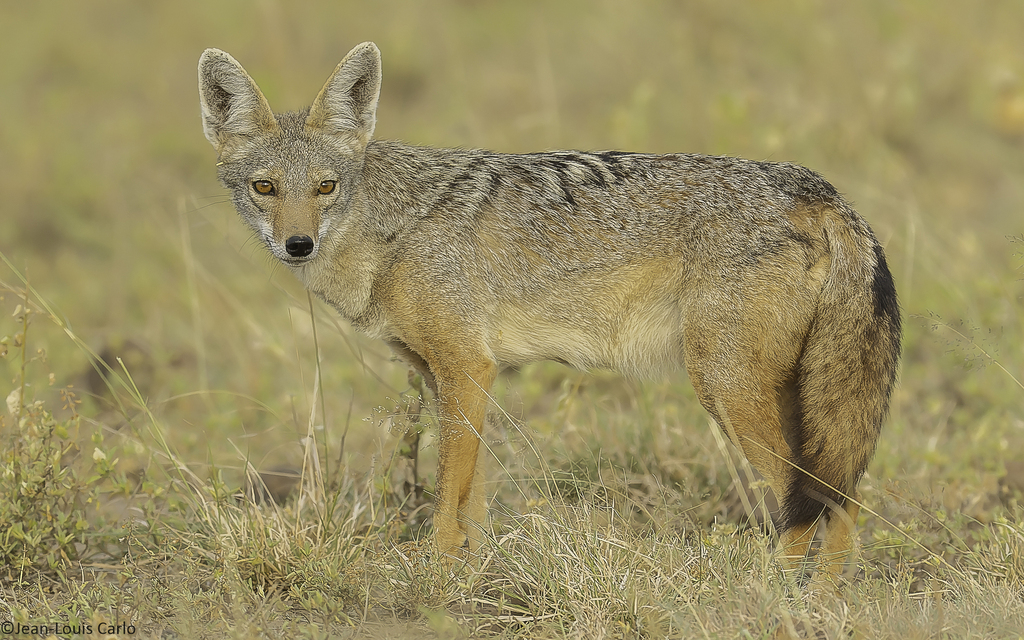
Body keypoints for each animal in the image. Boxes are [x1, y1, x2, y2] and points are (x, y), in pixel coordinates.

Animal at [198, 42, 901, 582]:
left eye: (325, 187)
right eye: (265, 188)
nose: (298, 244)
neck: (388, 231)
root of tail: (823, 191)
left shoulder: (466, 369)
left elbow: (447, 501)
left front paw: (435, 580)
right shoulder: (456, 379)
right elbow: (474, 502)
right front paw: (473, 580)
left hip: (728, 392)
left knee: (808, 501)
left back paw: (771, 595)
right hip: (789, 401)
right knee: (844, 502)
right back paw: (822, 604)